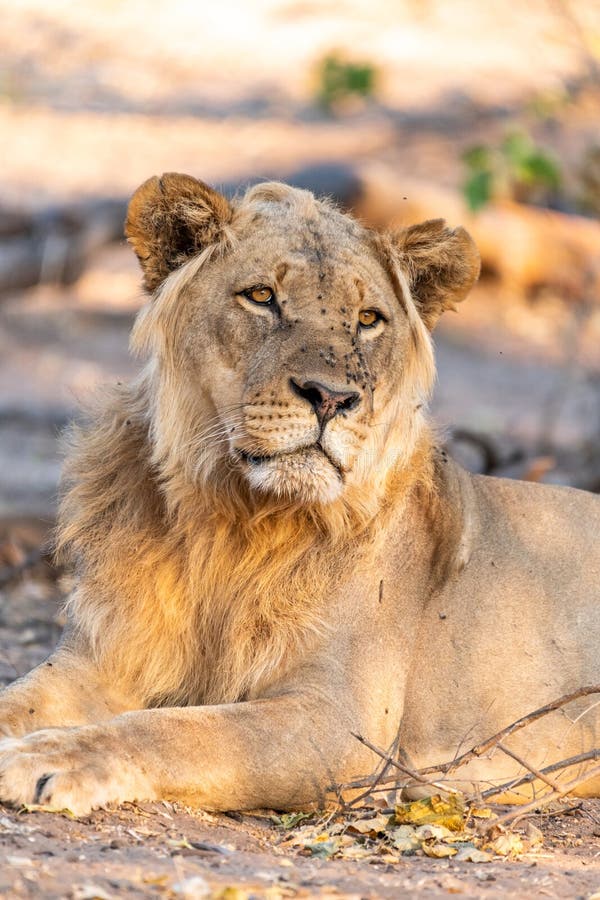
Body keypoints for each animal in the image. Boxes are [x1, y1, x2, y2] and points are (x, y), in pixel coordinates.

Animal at [0, 173, 598, 816]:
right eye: (261, 296)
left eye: (369, 318)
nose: (331, 398)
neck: (230, 521)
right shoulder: (99, 657)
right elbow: (18, 698)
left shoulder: (343, 721)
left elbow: (180, 730)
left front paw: (46, 758)